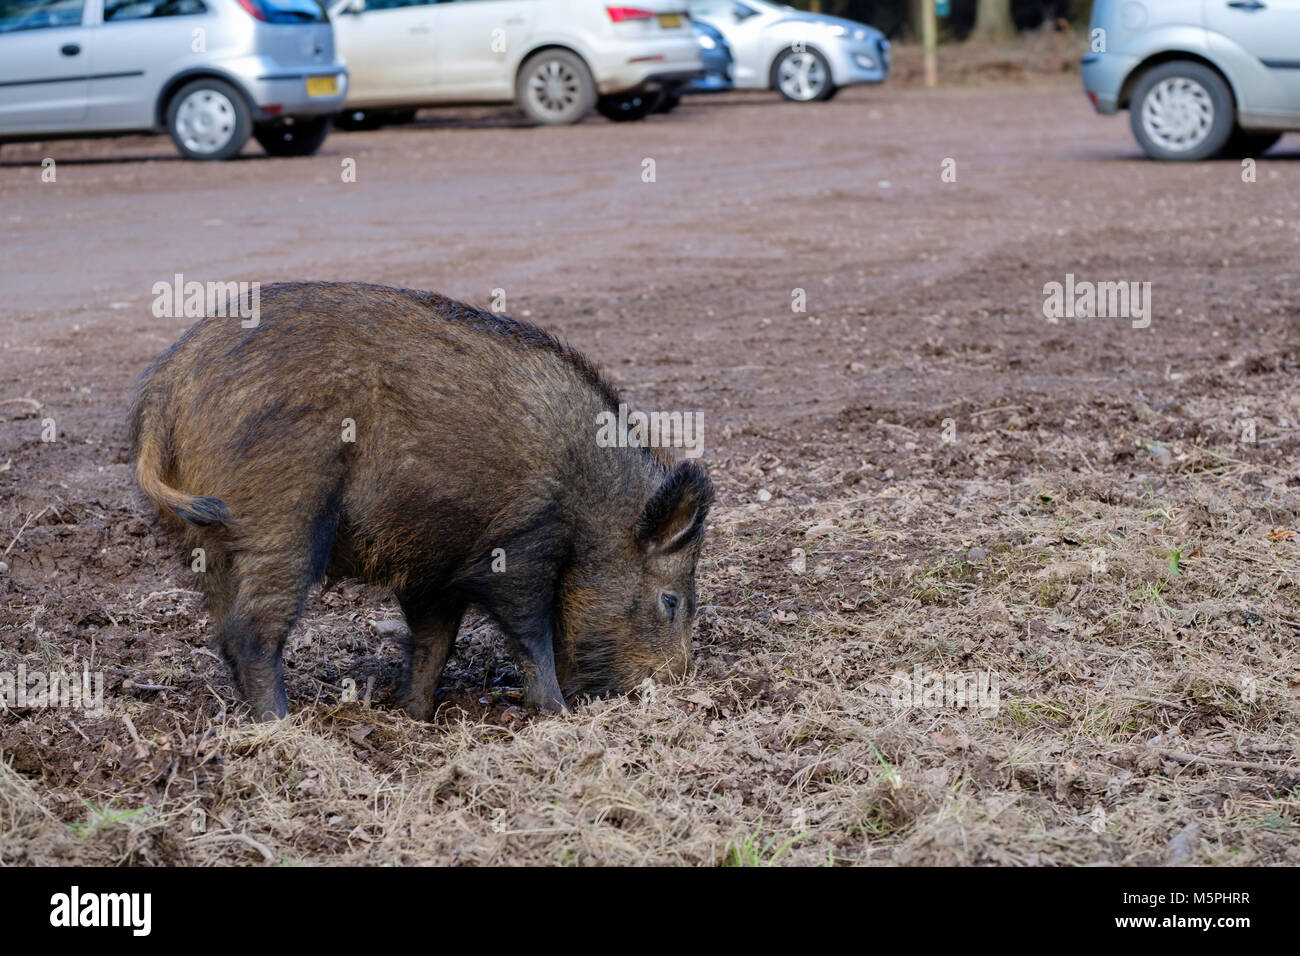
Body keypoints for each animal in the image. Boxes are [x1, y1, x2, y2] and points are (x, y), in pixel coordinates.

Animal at [129, 281, 712, 720]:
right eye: (671, 601)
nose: (676, 686)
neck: (591, 503)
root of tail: (165, 388)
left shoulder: (435, 568)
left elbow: (436, 641)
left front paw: (413, 715)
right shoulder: (520, 544)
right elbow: (531, 634)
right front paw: (556, 713)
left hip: (207, 545)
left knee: (224, 629)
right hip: (281, 515)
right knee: (251, 631)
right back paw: (282, 724)